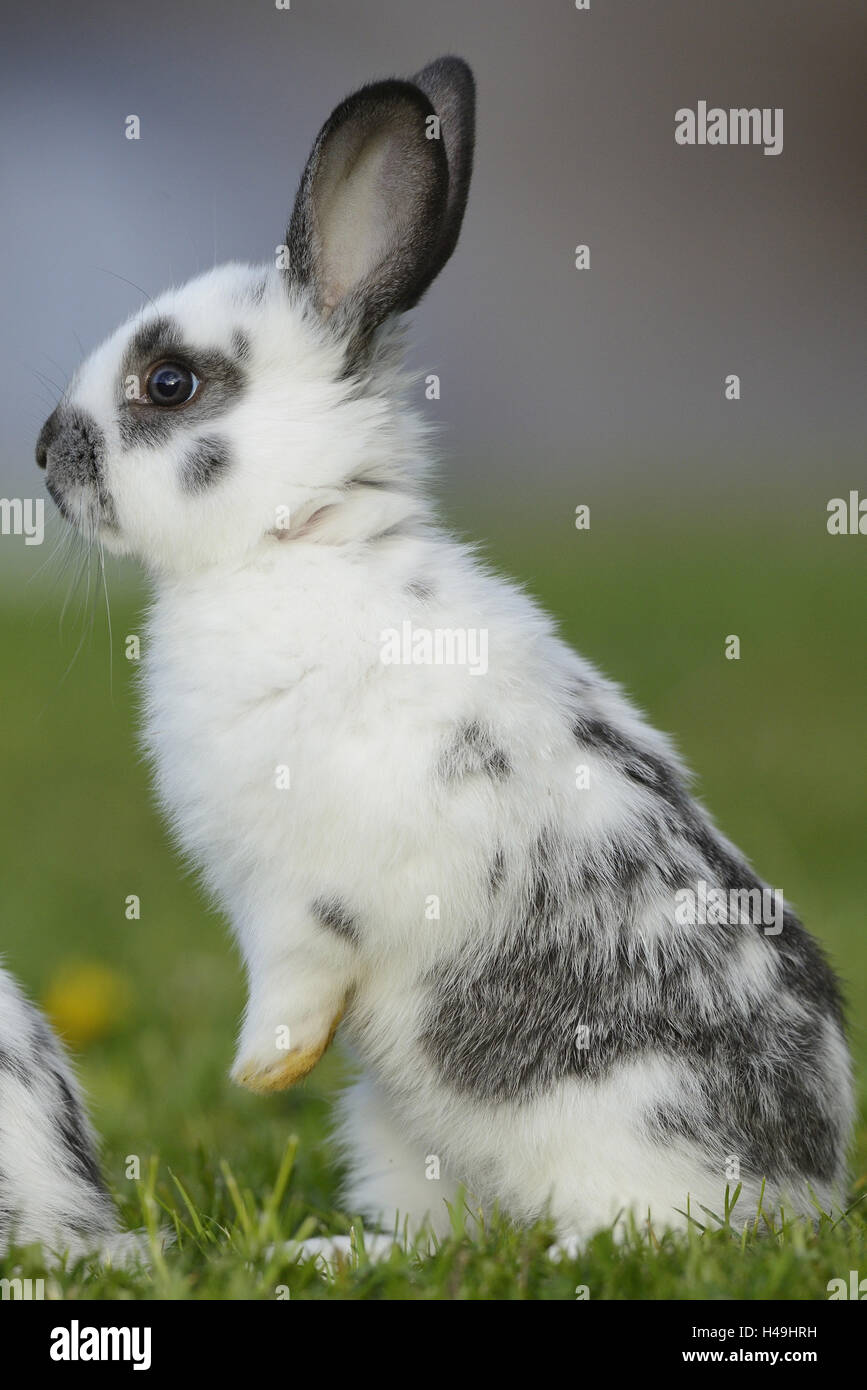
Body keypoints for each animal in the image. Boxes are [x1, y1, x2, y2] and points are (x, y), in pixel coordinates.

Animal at [35, 55, 853, 1249]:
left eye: (171, 384)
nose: (43, 455)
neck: (296, 541)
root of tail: (804, 1187)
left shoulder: (301, 905)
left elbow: (294, 985)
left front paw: (260, 1073)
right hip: (395, 1130)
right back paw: (333, 1249)